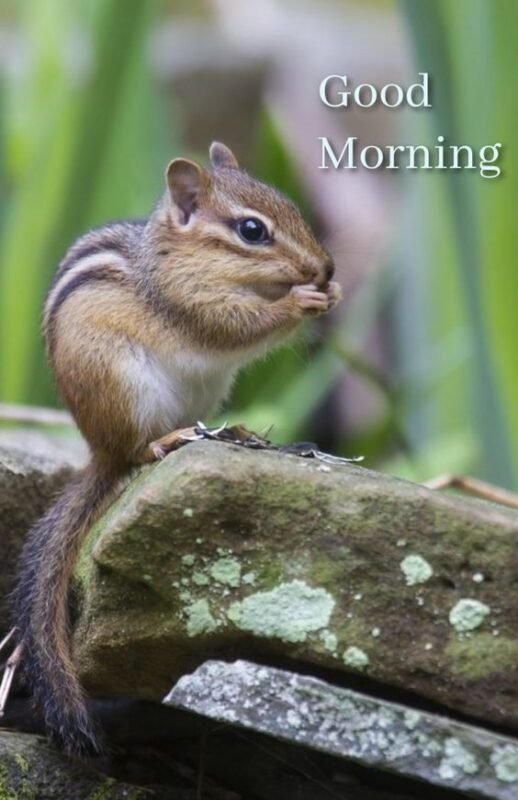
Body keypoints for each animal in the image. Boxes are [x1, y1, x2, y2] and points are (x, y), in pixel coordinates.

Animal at [10, 142, 341, 757]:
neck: (184, 254)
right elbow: (236, 325)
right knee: (138, 453)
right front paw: (300, 301)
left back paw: (235, 432)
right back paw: (169, 439)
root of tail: (98, 449)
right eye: (253, 231)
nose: (327, 269)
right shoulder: (192, 300)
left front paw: (328, 293)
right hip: (126, 388)